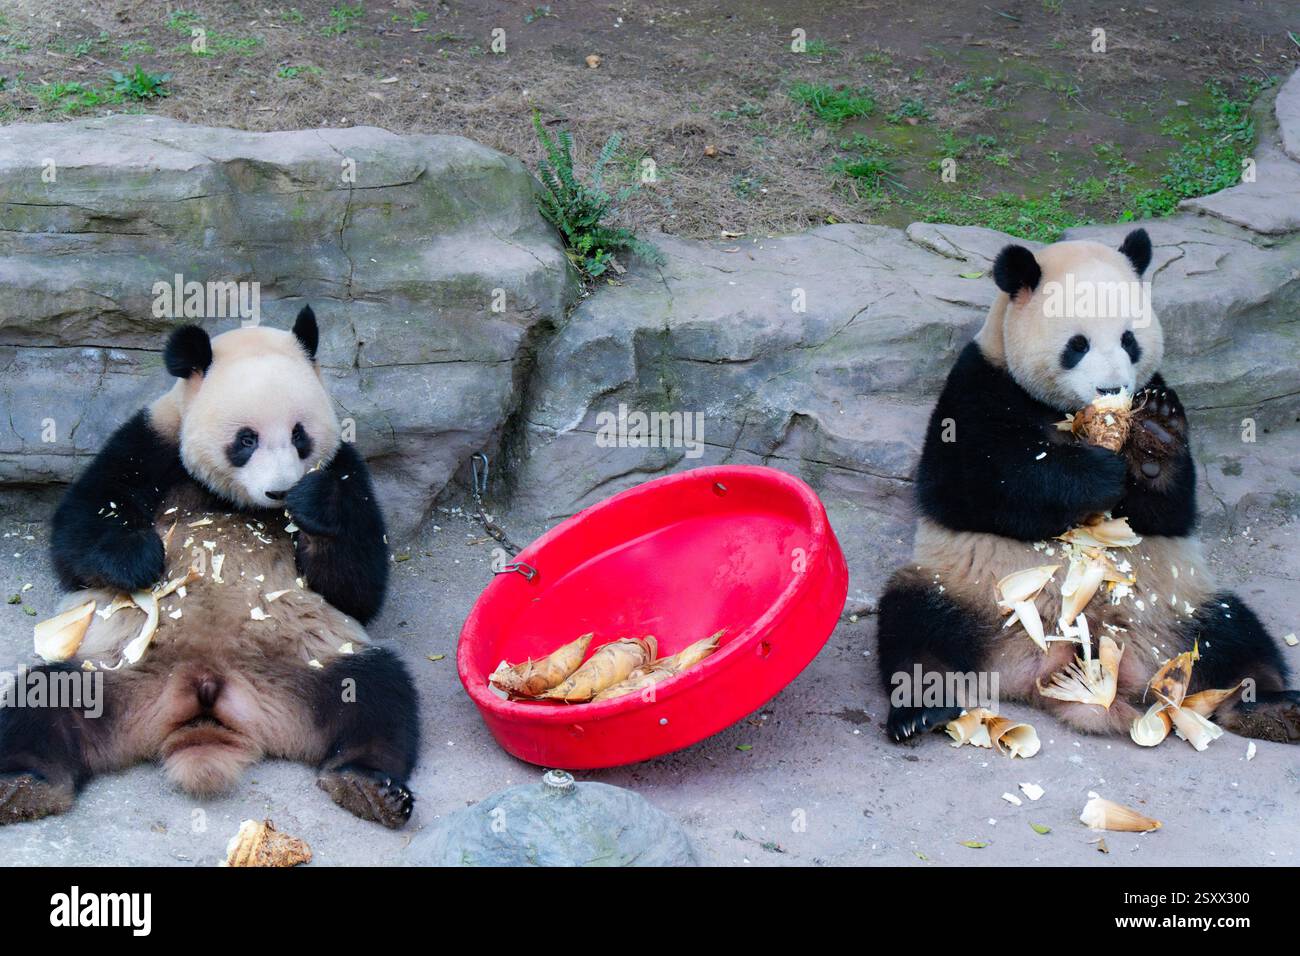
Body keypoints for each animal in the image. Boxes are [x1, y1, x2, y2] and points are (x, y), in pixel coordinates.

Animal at [0, 307, 420, 827]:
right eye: (246, 439)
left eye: (300, 435)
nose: (281, 491)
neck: (239, 502)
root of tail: (205, 693)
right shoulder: (150, 442)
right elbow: (79, 532)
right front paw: (142, 561)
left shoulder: (345, 465)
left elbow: (359, 588)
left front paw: (313, 507)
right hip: (114, 672)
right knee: (44, 696)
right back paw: (26, 784)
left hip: (306, 669)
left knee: (376, 690)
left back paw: (367, 783)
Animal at [876, 228, 1299, 746]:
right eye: (1077, 344)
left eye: (1129, 340)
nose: (1111, 388)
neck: (1068, 414)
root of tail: (1067, 659)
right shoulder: (980, 382)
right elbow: (966, 485)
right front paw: (1095, 475)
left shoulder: (1151, 387)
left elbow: (1170, 512)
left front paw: (1154, 443)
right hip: (972, 594)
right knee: (914, 624)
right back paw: (922, 708)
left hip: (1177, 609)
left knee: (1237, 636)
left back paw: (1270, 708)